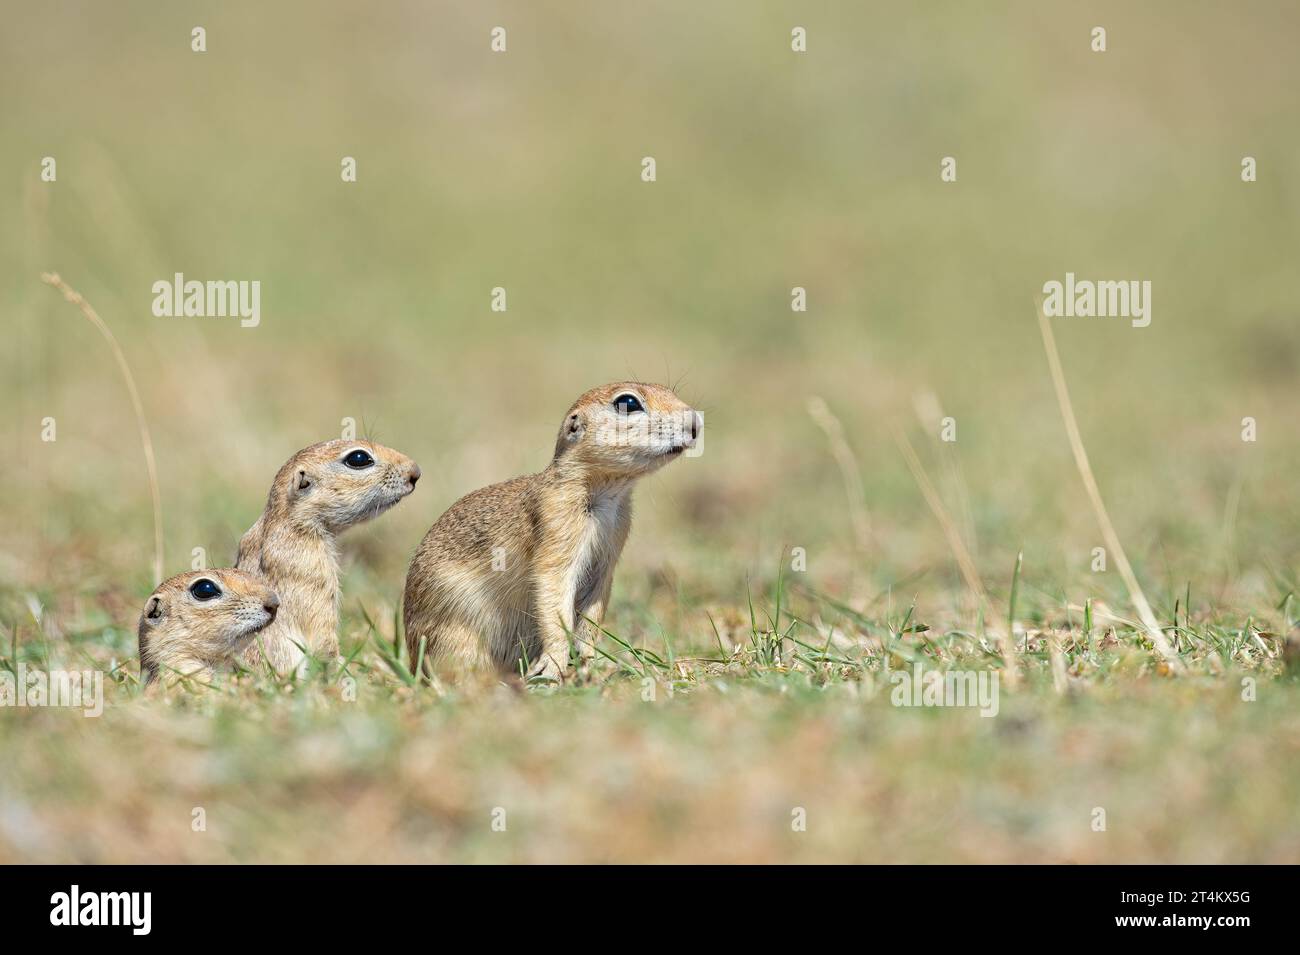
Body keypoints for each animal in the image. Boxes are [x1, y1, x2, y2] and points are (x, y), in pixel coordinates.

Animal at [403, 382, 701, 683]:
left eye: (669, 391)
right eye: (628, 403)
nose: (695, 422)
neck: (608, 493)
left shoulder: (610, 548)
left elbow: (594, 607)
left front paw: (588, 661)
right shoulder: (556, 524)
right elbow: (552, 589)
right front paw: (553, 664)